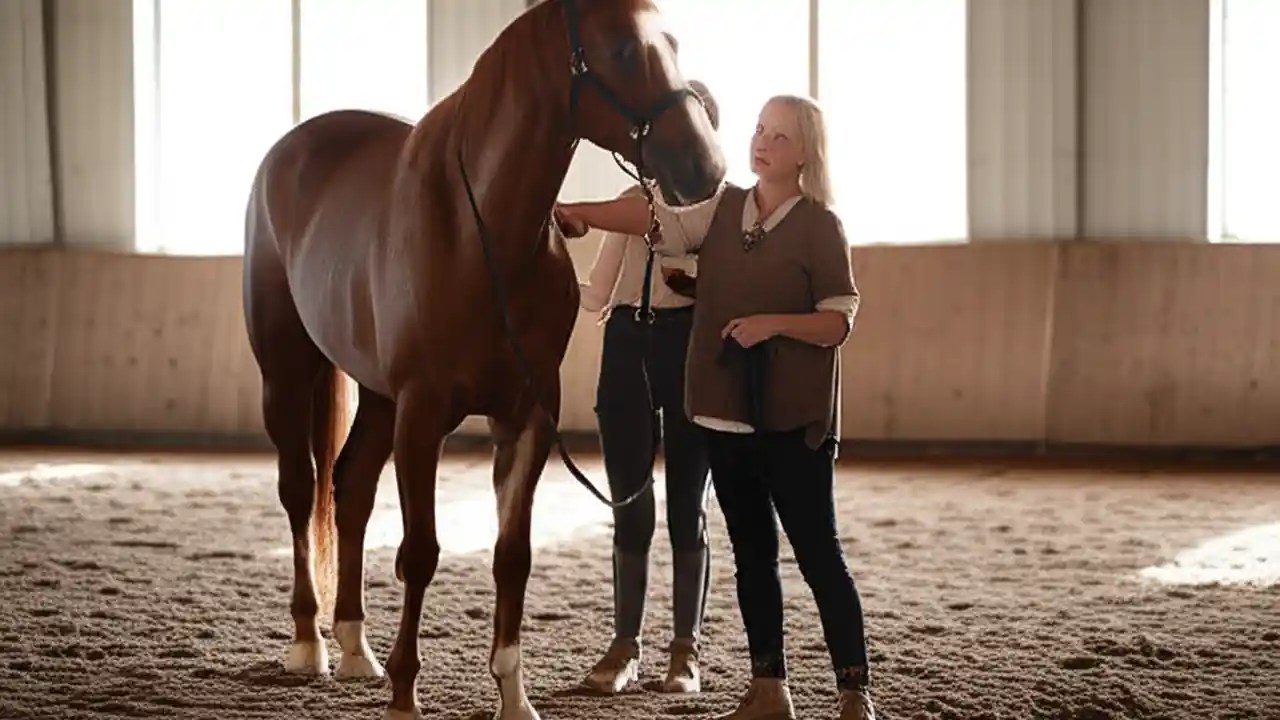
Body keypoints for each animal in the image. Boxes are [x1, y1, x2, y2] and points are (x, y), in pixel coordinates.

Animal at [240, 0, 726, 717]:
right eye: (621, 49)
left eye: (672, 41)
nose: (705, 166)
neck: (483, 235)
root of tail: (290, 152)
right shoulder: (422, 414)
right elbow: (419, 551)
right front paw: (406, 697)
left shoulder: (526, 416)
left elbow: (511, 555)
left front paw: (513, 696)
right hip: (286, 371)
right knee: (301, 491)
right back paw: (311, 645)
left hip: (377, 394)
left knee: (350, 489)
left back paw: (356, 648)